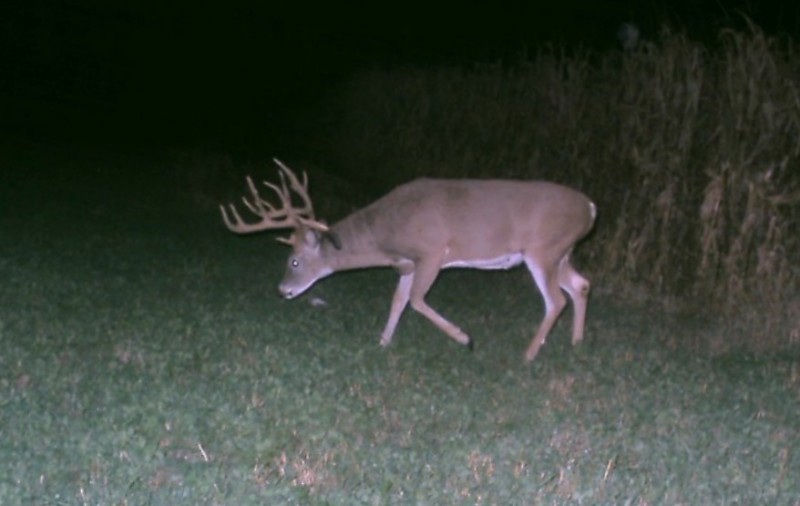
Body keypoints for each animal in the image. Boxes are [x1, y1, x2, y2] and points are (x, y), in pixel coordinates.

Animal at [220, 159, 597, 362]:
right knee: (581, 285)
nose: (282, 291)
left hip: (543, 250)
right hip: (562, 252)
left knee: (556, 299)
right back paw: (577, 343)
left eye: (295, 261)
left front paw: (465, 338)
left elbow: (416, 299)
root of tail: (591, 208)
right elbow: (398, 299)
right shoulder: (409, 263)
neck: (388, 233)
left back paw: (528, 354)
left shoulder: (431, 252)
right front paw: (383, 341)